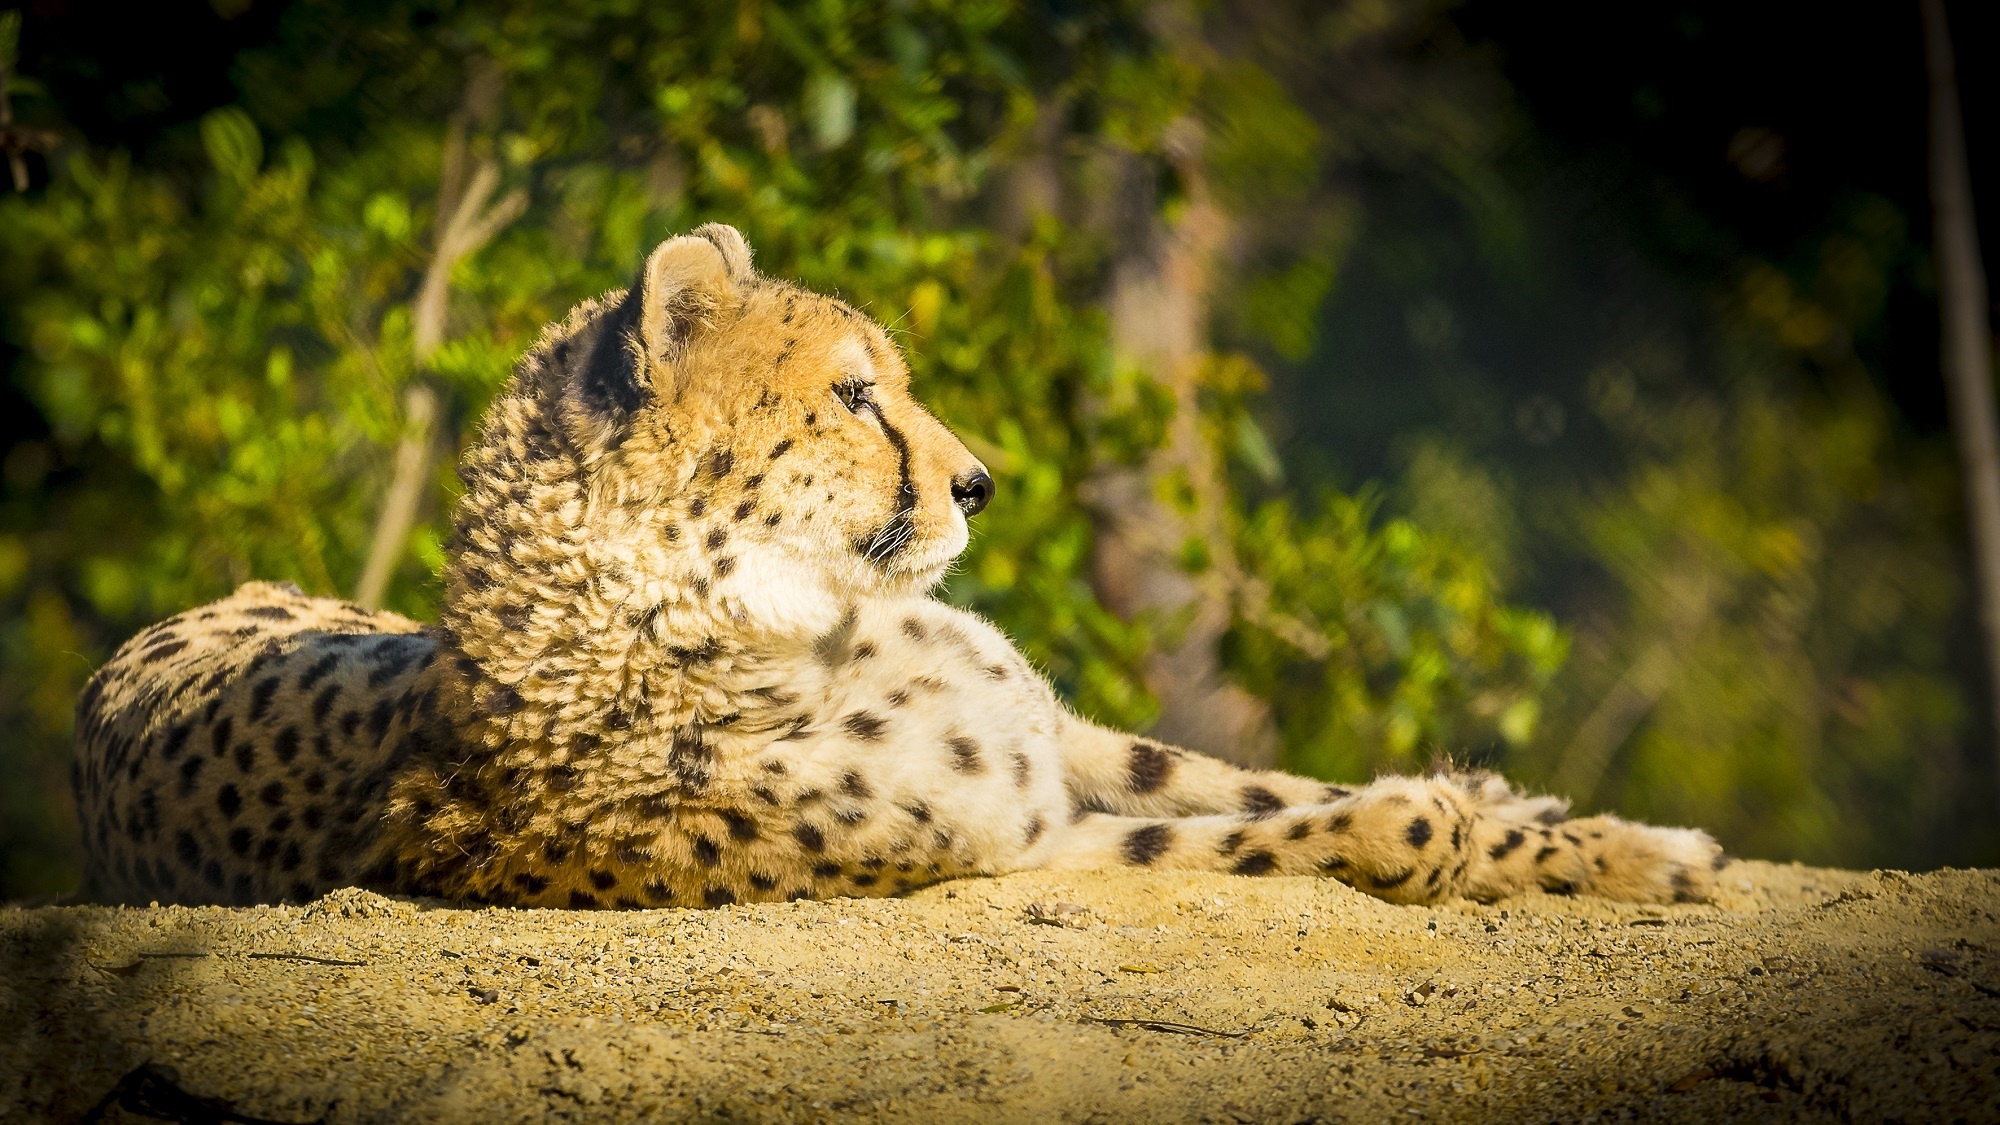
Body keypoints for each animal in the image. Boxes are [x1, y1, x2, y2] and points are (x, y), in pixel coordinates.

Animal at [70, 224, 1726, 911]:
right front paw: (1446, 828)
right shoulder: (1006, 844)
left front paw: (1596, 833)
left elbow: (1248, 779)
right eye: (859, 396)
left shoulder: (1058, 735)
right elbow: (1271, 836)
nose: (982, 481)